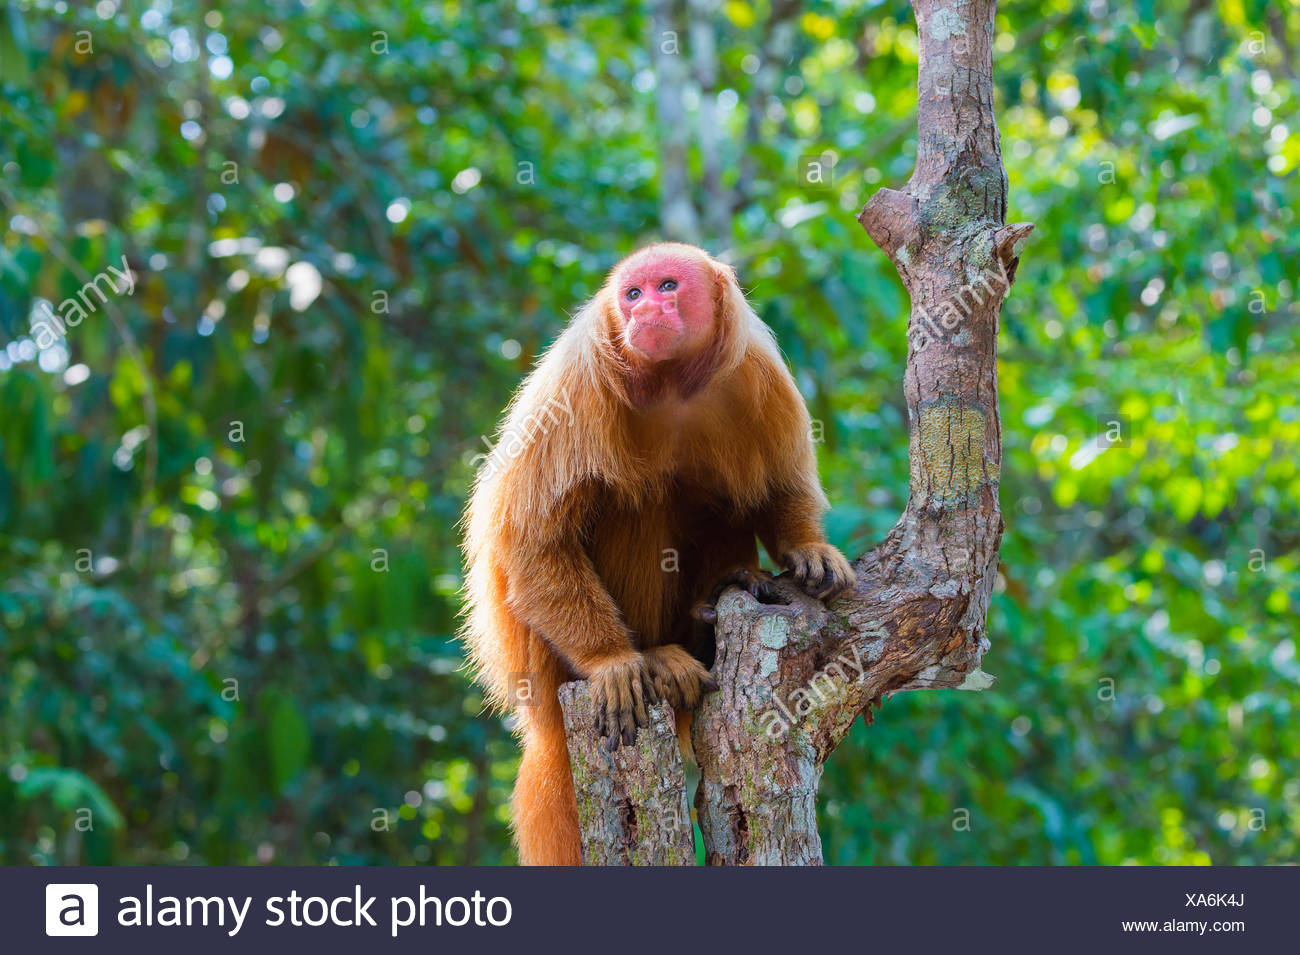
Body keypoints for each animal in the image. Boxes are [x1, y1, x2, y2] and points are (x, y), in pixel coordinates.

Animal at [461, 242, 855, 866]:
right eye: (632, 294)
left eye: (667, 286)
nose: (646, 310)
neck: (670, 385)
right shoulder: (577, 380)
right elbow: (533, 542)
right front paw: (612, 661)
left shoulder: (758, 371)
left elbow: (777, 487)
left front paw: (808, 547)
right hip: (547, 664)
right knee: (638, 499)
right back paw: (657, 657)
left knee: (717, 495)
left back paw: (718, 602)